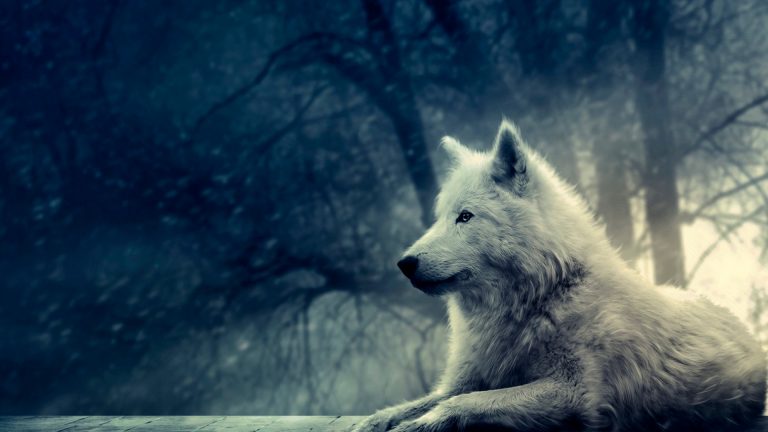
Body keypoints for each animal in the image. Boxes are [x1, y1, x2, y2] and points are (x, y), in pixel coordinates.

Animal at [352, 121, 767, 432]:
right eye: (439, 217)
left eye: (465, 216)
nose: (404, 263)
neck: (543, 295)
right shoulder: (463, 379)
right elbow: (414, 404)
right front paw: (375, 421)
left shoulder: (574, 392)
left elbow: (464, 403)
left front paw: (421, 424)